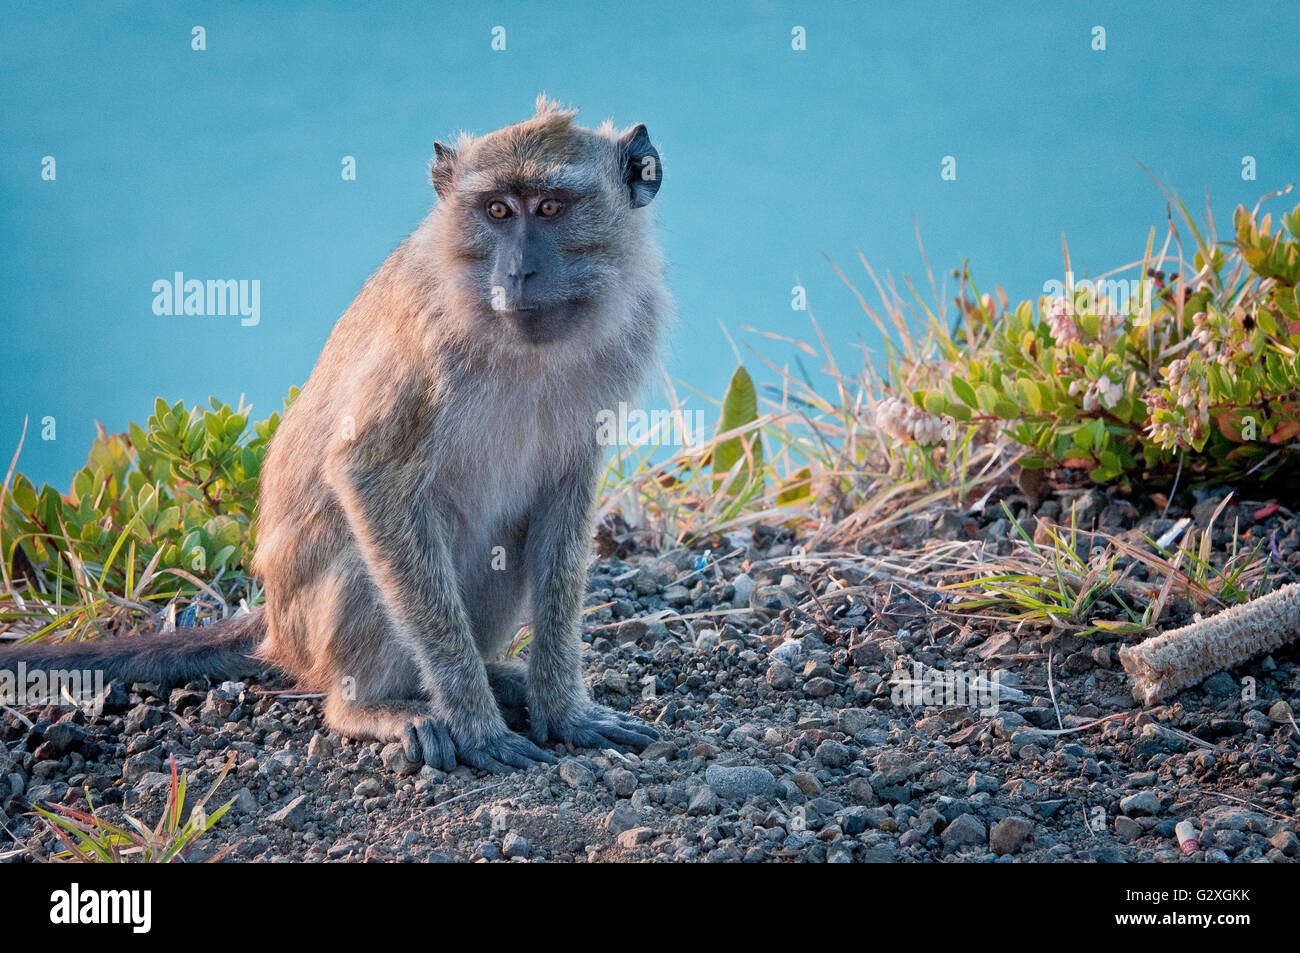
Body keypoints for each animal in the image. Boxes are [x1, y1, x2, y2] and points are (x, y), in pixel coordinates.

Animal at [1, 96, 668, 772]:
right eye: (499, 211)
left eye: (551, 208)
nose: (520, 271)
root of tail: (273, 624)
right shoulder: (430, 350)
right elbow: (366, 474)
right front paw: (476, 725)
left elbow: (564, 500)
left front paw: (562, 710)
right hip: (312, 625)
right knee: (372, 558)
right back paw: (371, 706)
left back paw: (500, 678)